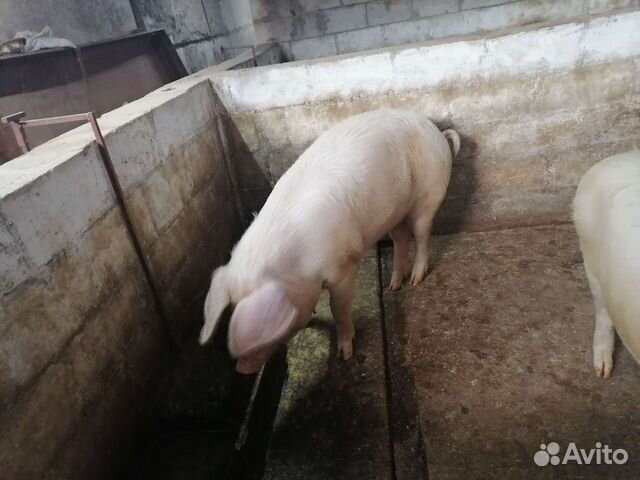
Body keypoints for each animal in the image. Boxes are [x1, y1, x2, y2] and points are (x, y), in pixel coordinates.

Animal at [200, 109, 460, 374]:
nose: (241, 369)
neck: (297, 263)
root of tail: (438, 132)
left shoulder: (343, 268)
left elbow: (339, 309)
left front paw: (344, 355)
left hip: (430, 193)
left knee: (422, 233)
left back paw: (416, 280)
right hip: (394, 212)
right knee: (401, 238)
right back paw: (394, 286)